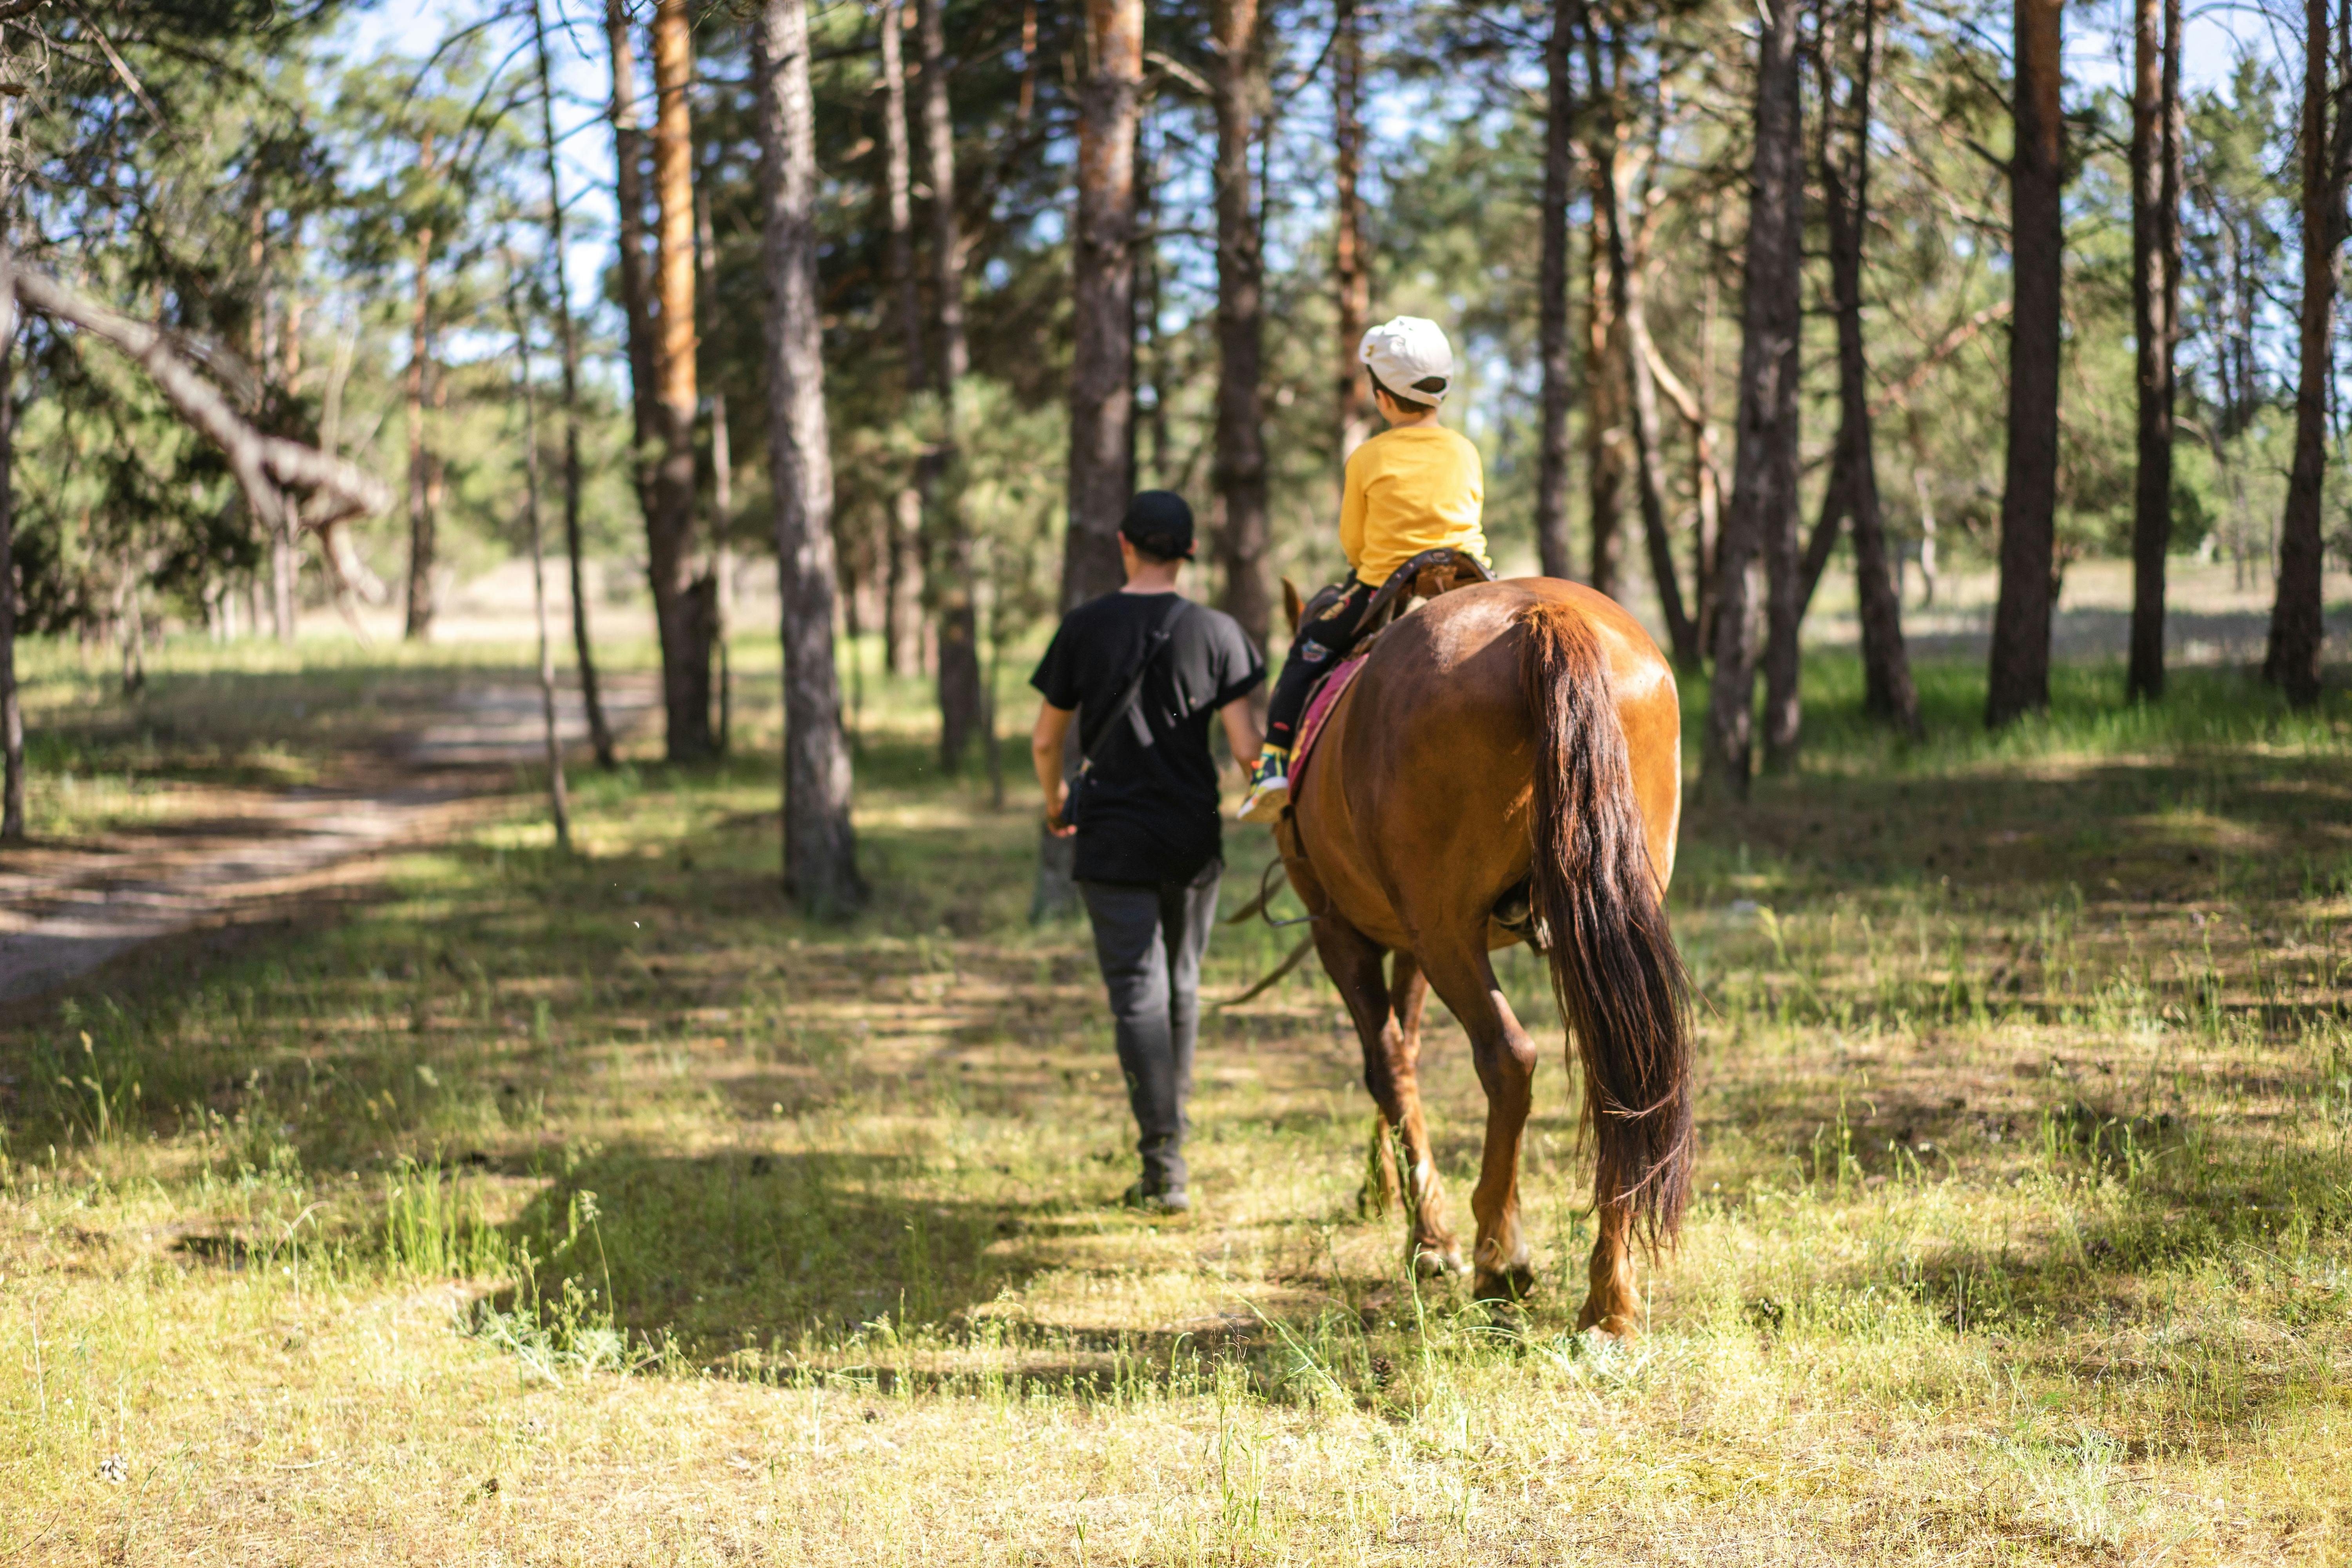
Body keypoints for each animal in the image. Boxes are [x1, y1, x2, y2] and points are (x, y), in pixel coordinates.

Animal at [1271, 575, 1692, 1336]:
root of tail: (1544, 617)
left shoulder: (1343, 933)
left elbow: (1386, 1062)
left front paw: (1428, 1236)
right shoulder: (1405, 941)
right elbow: (1402, 1053)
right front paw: (1391, 1193)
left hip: (1448, 932)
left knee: (1507, 1057)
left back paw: (1500, 1255)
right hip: (1598, 912)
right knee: (1623, 1070)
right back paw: (1609, 1303)